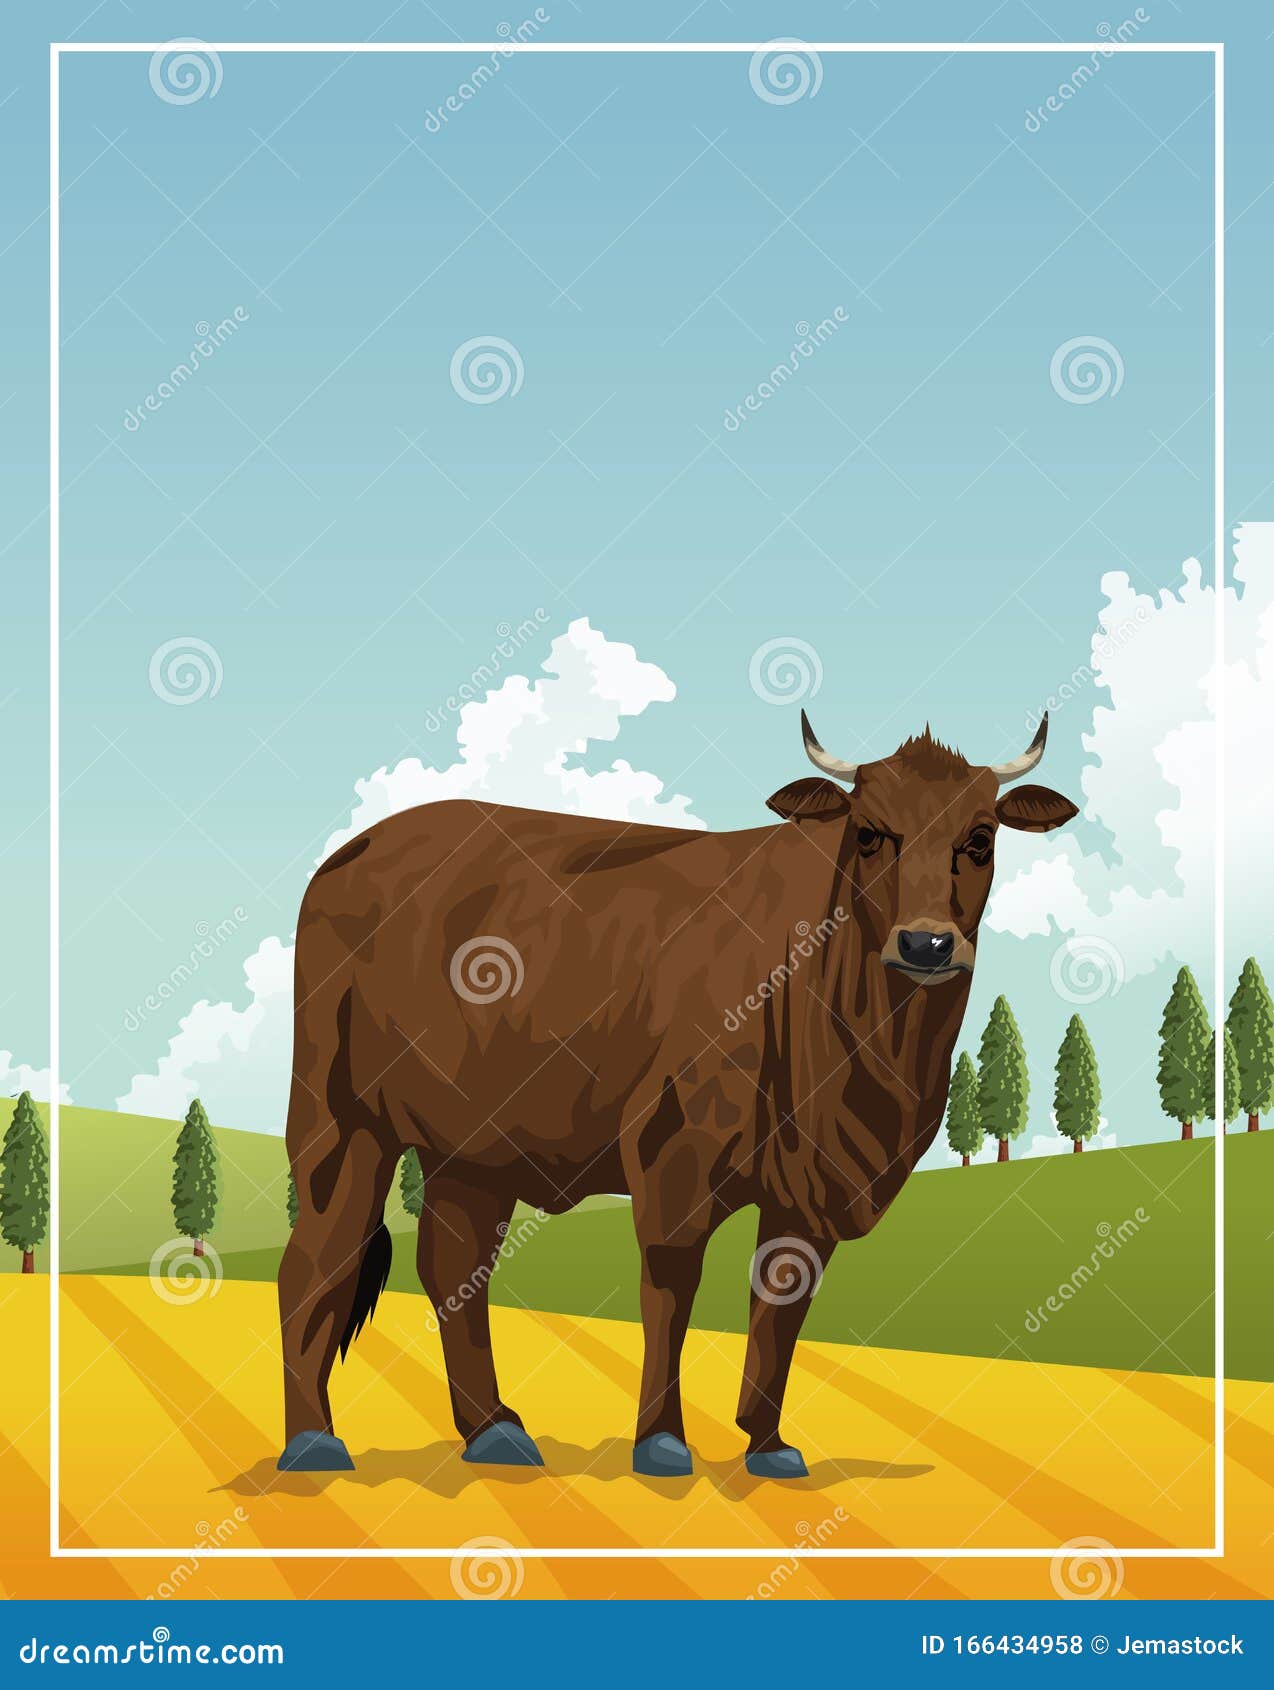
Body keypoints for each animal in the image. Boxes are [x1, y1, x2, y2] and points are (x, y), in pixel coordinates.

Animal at [277, 711, 1076, 1480]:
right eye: (870, 833)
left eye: (980, 838)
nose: (926, 945)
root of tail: (358, 849)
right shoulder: (674, 1150)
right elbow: (671, 1286)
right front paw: (662, 1441)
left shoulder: (808, 1190)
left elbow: (782, 1295)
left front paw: (767, 1443)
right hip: (340, 1120)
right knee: (317, 1258)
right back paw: (313, 1440)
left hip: (471, 1152)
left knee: (453, 1263)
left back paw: (493, 1431)